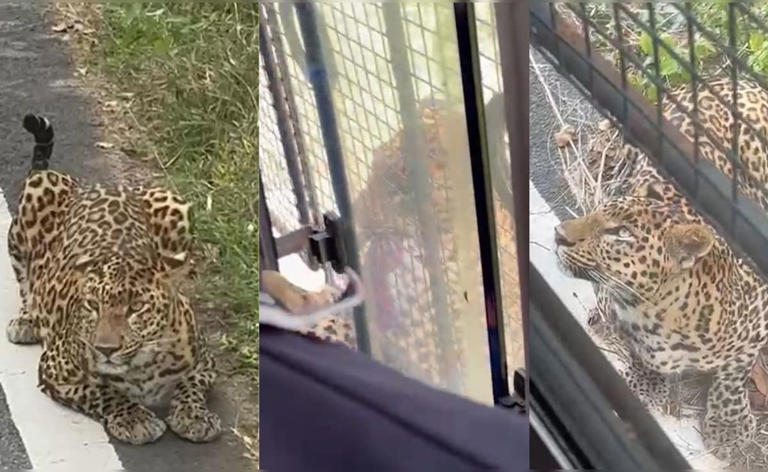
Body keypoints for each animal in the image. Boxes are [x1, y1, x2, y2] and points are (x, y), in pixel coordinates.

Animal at [5, 114, 221, 445]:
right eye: (93, 306)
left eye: (136, 308)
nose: (105, 349)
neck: (143, 366)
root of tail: (85, 184)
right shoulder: (55, 367)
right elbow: (101, 391)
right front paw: (134, 418)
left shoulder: (205, 361)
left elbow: (191, 386)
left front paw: (194, 415)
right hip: (30, 206)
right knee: (27, 284)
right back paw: (26, 321)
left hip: (174, 202)